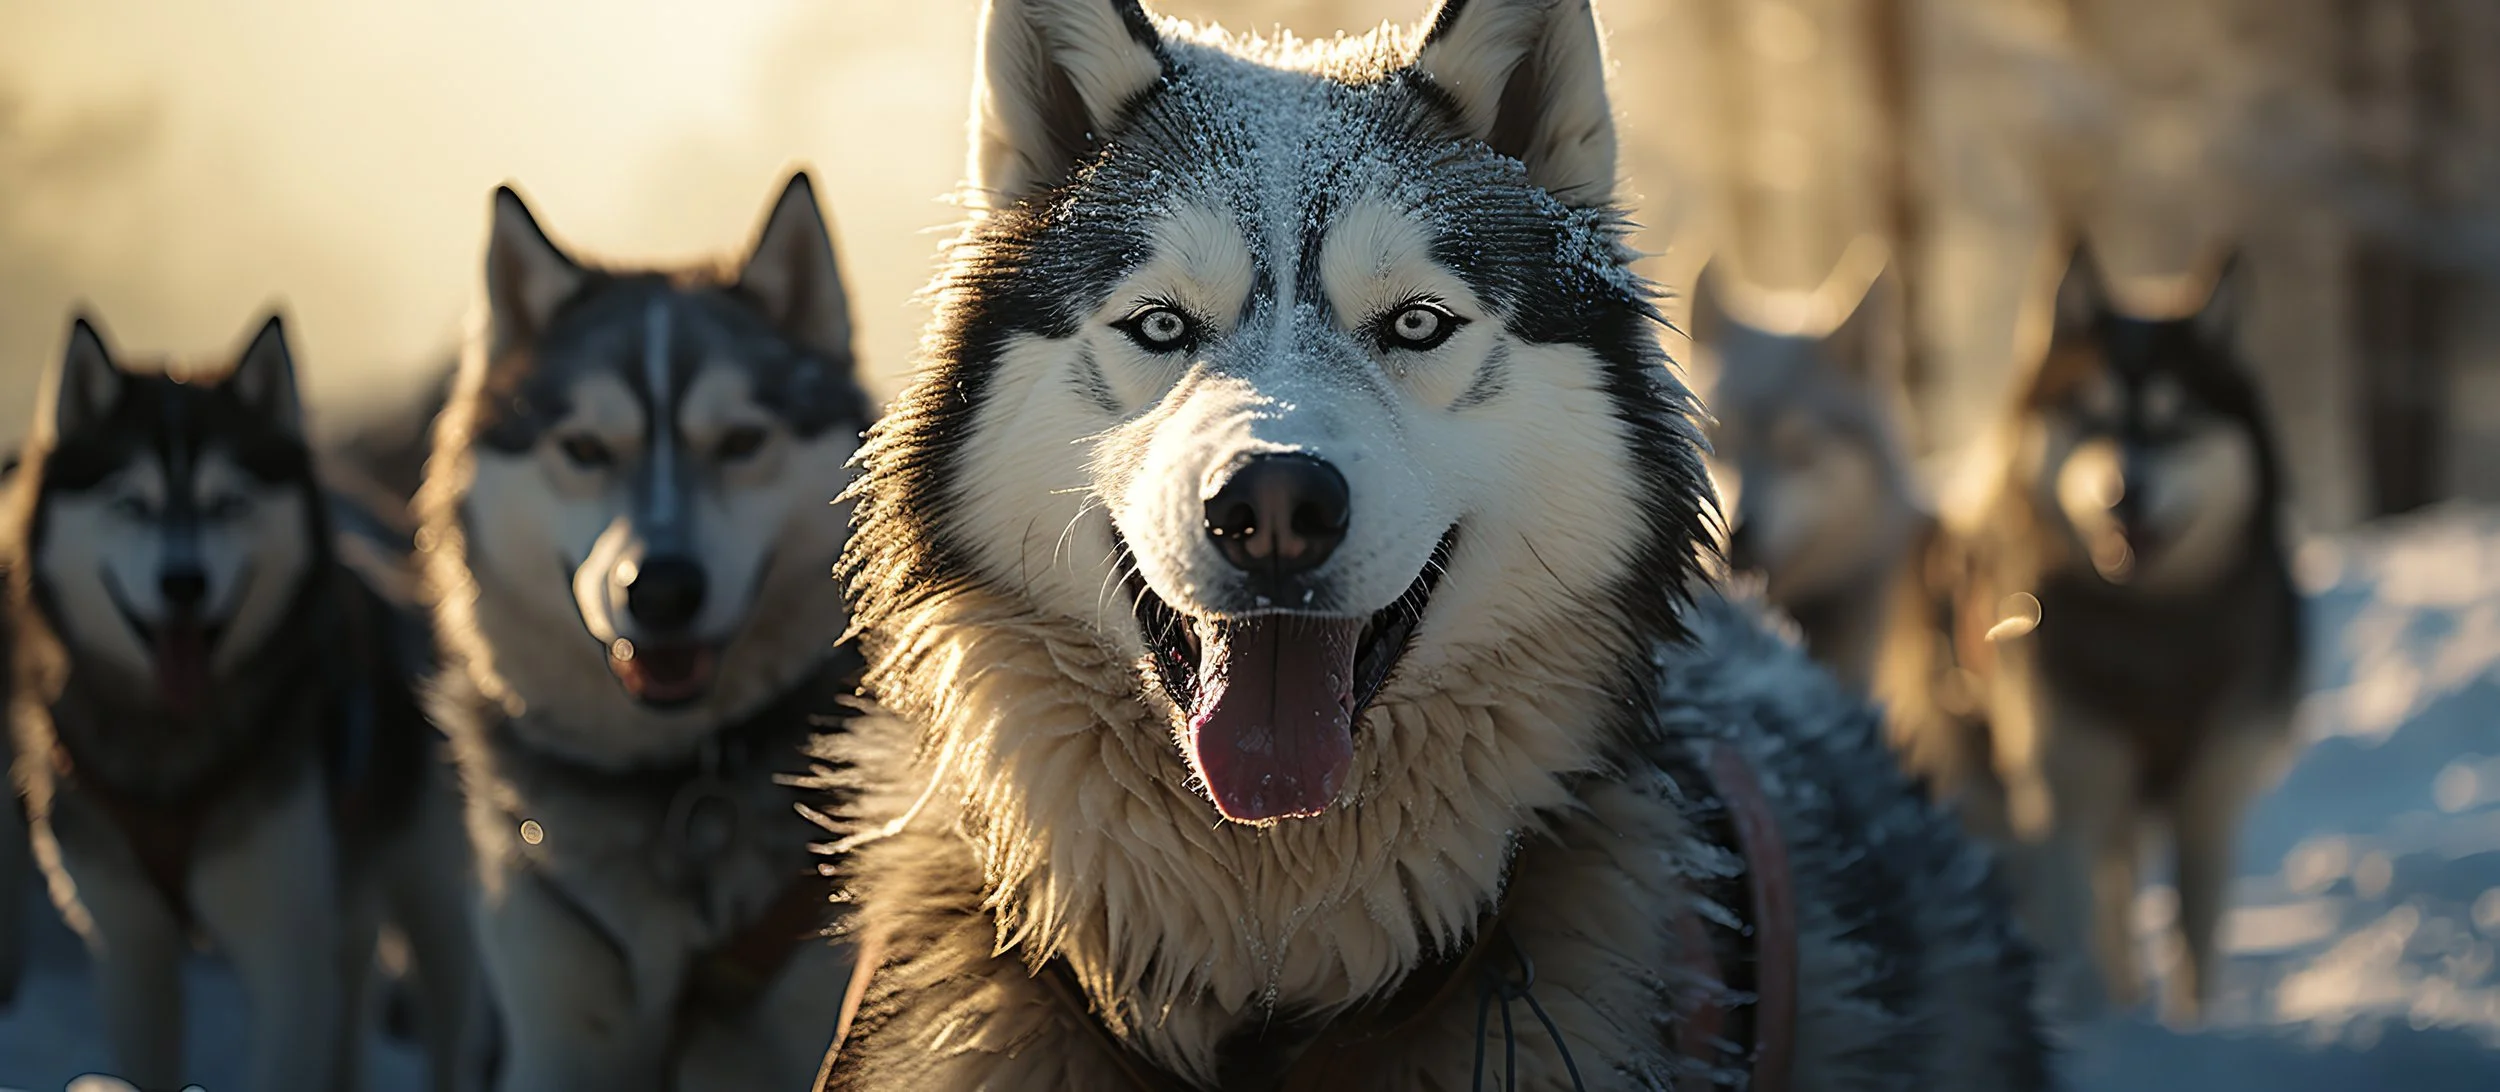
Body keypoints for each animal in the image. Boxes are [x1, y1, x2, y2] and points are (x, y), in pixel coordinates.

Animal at [5, 314, 486, 1091]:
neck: (173, 750)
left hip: (432, 896)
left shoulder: (285, 946)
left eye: (227, 503)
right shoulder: (130, 944)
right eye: (132, 504)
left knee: (448, 1016)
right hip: (347, 900)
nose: (184, 583)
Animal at [1957, 245, 2301, 1025]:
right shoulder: (2063, 788)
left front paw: (2192, 1030)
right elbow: (2077, 928)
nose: (2125, 493)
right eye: (2092, 421)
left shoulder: (2209, 794)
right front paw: (2096, 1025)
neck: (2150, 628)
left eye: (2176, 428)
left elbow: (2195, 938)